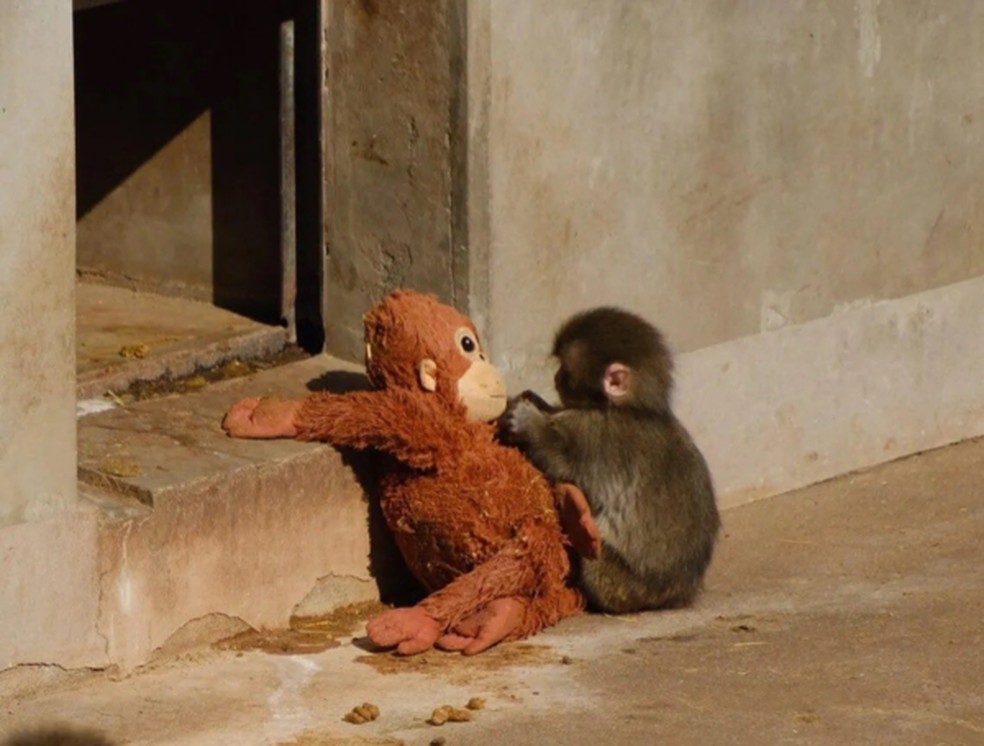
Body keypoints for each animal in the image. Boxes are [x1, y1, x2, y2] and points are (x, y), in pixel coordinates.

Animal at [499, 307, 720, 614]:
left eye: (566, 370)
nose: (556, 377)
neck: (632, 409)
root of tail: (675, 596)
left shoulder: (594, 434)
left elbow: (561, 462)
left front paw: (528, 421)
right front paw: (537, 402)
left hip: (620, 585)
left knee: (594, 562)